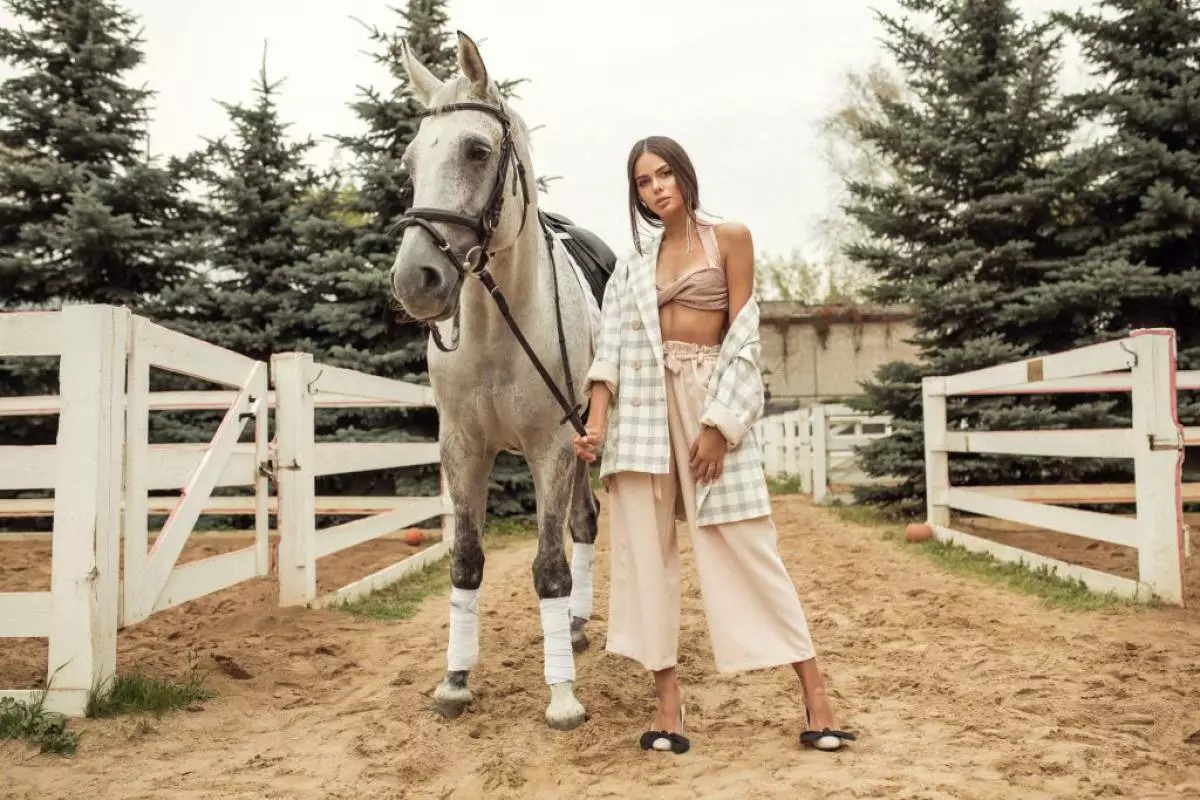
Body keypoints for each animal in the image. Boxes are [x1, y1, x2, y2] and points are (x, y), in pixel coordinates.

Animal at [388, 31, 609, 734]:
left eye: (477, 150)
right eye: (409, 162)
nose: (416, 280)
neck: (497, 330)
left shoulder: (552, 448)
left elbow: (548, 568)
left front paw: (562, 697)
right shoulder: (462, 448)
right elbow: (466, 559)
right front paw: (455, 681)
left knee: (587, 528)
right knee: (586, 521)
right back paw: (576, 627)